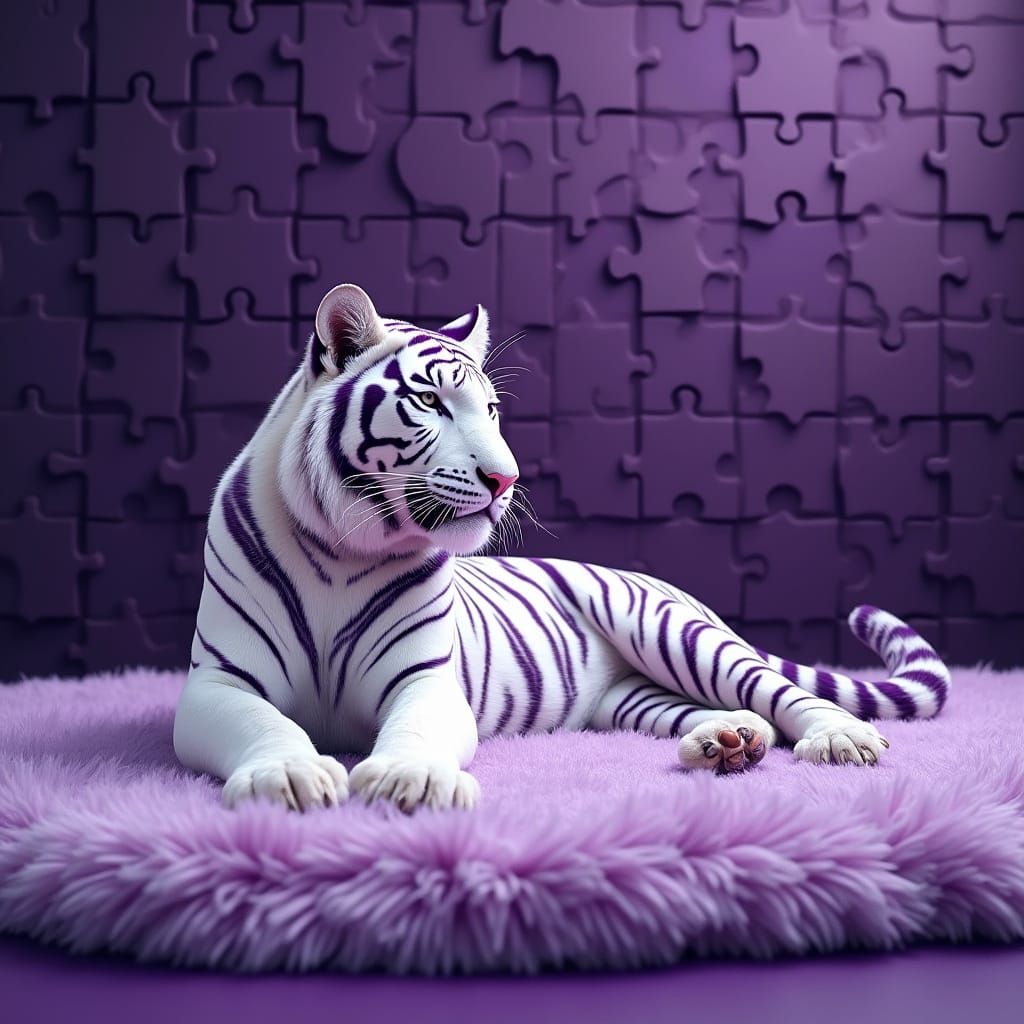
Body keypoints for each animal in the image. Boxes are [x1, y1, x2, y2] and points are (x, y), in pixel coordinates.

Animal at [173, 283, 952, 813]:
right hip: (631, 695)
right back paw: (727, 743)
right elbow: (265, 723)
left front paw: (410, 778)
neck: (344, 548)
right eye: (428, 402)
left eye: (490, 410)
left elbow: (416, 731)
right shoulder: (218, 685)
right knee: (713, 709)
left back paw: (839, 739)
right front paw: (289, 775)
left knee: (781, 691)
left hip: (673, 634)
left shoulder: (426, 680)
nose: (505, 478)